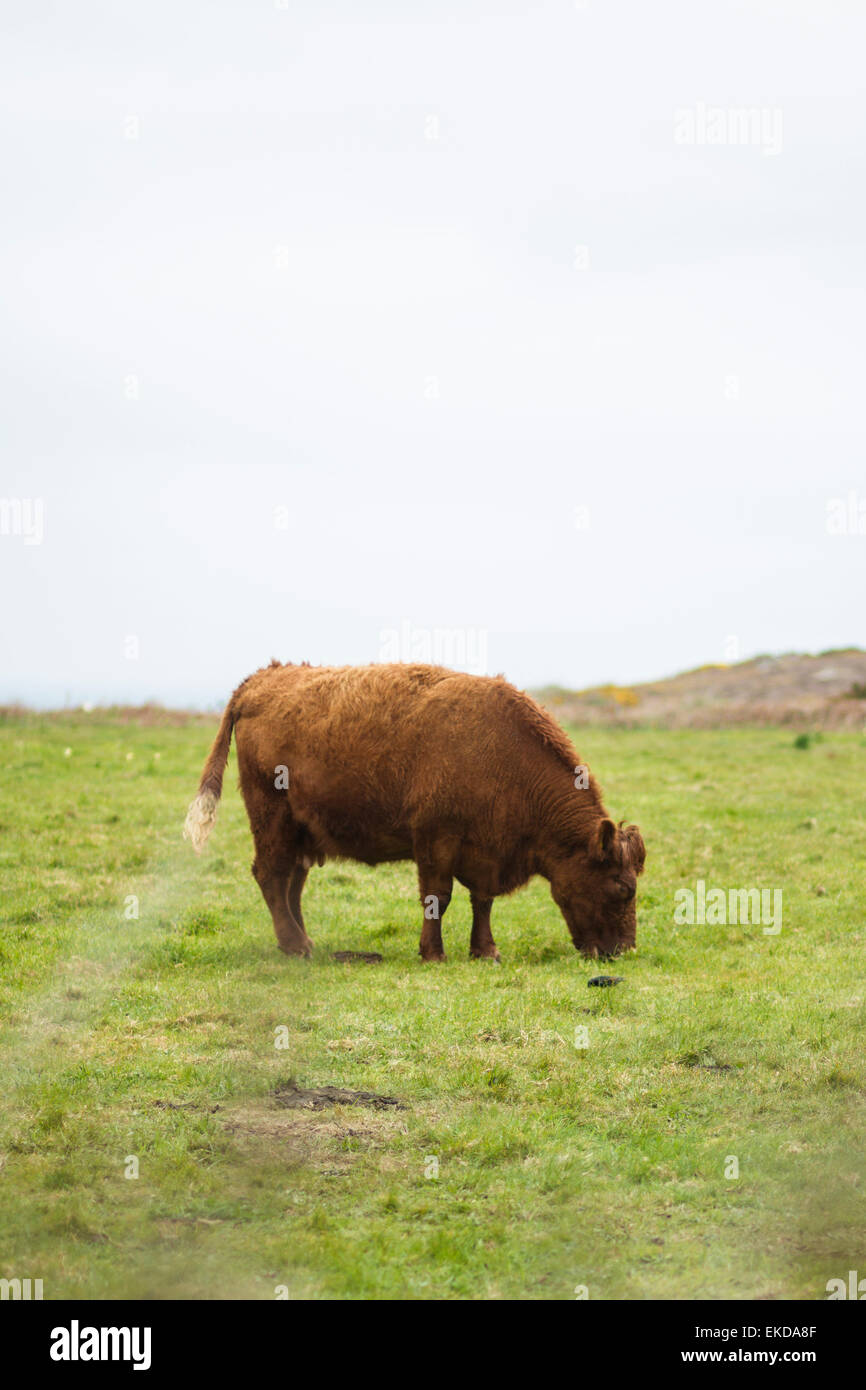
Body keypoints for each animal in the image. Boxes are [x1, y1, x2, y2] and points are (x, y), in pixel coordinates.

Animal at [183, 662, 645, 962]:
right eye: (622, 888)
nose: (623, 950)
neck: (501, 752)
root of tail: (258, 682)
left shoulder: (486, 850)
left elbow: (482, 900)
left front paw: (485, 951)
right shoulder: (435, 840)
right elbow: (438, 896)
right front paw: (433, 953)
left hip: (301, 829)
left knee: (291, 882)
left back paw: (301, 942)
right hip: (271, 818)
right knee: (271, 875)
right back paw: (296, 946)